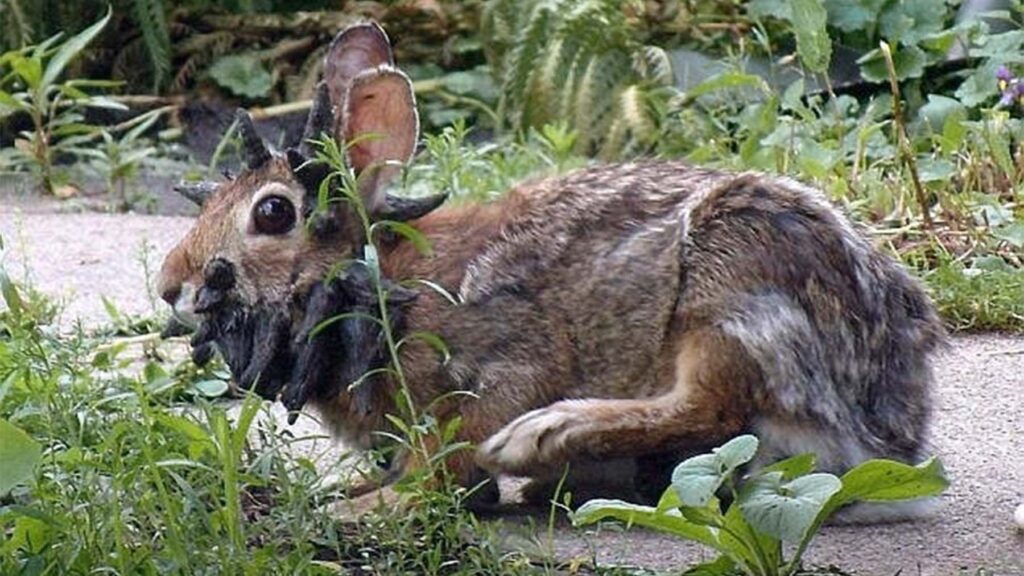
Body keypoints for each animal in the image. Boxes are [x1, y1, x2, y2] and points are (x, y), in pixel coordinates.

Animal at [157, 21, 944, 520]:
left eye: (272, 214)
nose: (171, 285)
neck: (379, 278)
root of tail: (890, 429)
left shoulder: (499, 365)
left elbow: (452, 456)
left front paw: (373, 508)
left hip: (730, 284)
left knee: (709, 406)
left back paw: (548, 437)